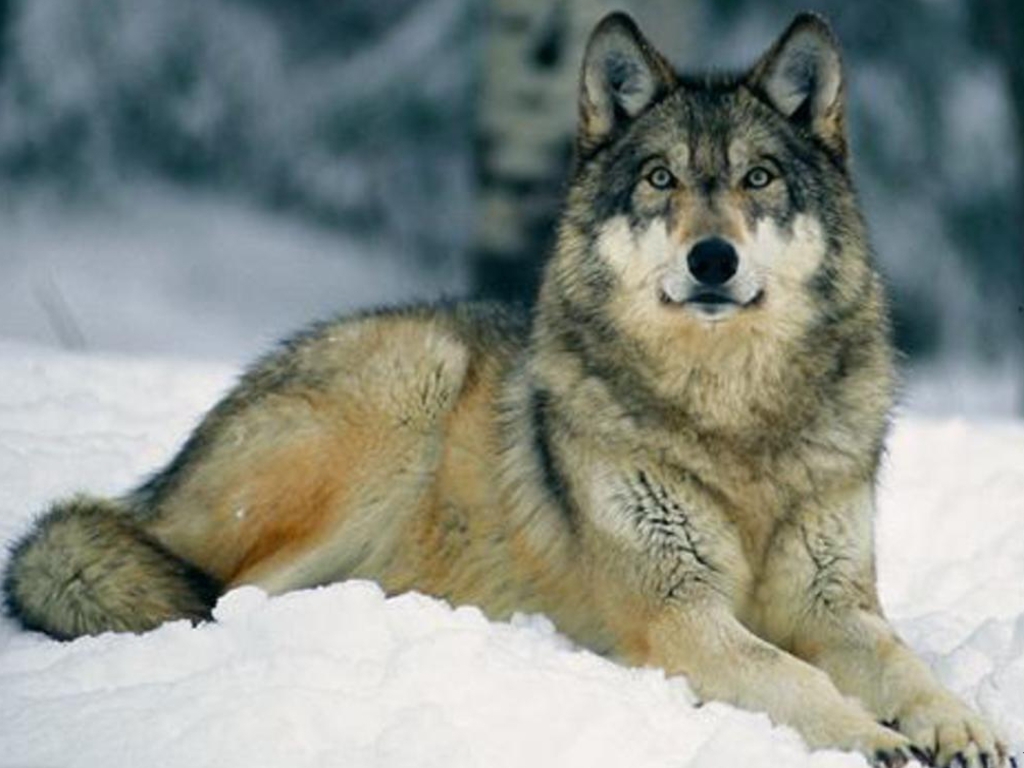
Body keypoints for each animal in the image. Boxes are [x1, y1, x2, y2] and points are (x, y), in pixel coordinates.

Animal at [2, 12, 1006, 767]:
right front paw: (870, 737)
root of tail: (156, 488)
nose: (712, 259)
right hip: (408, 385)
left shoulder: (835, 607)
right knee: (226, 599)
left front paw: (962, 726)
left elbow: (908, 666)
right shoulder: (678, 613)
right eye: (660, 179)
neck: (732, 417)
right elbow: (800, 680)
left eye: (757, 178)